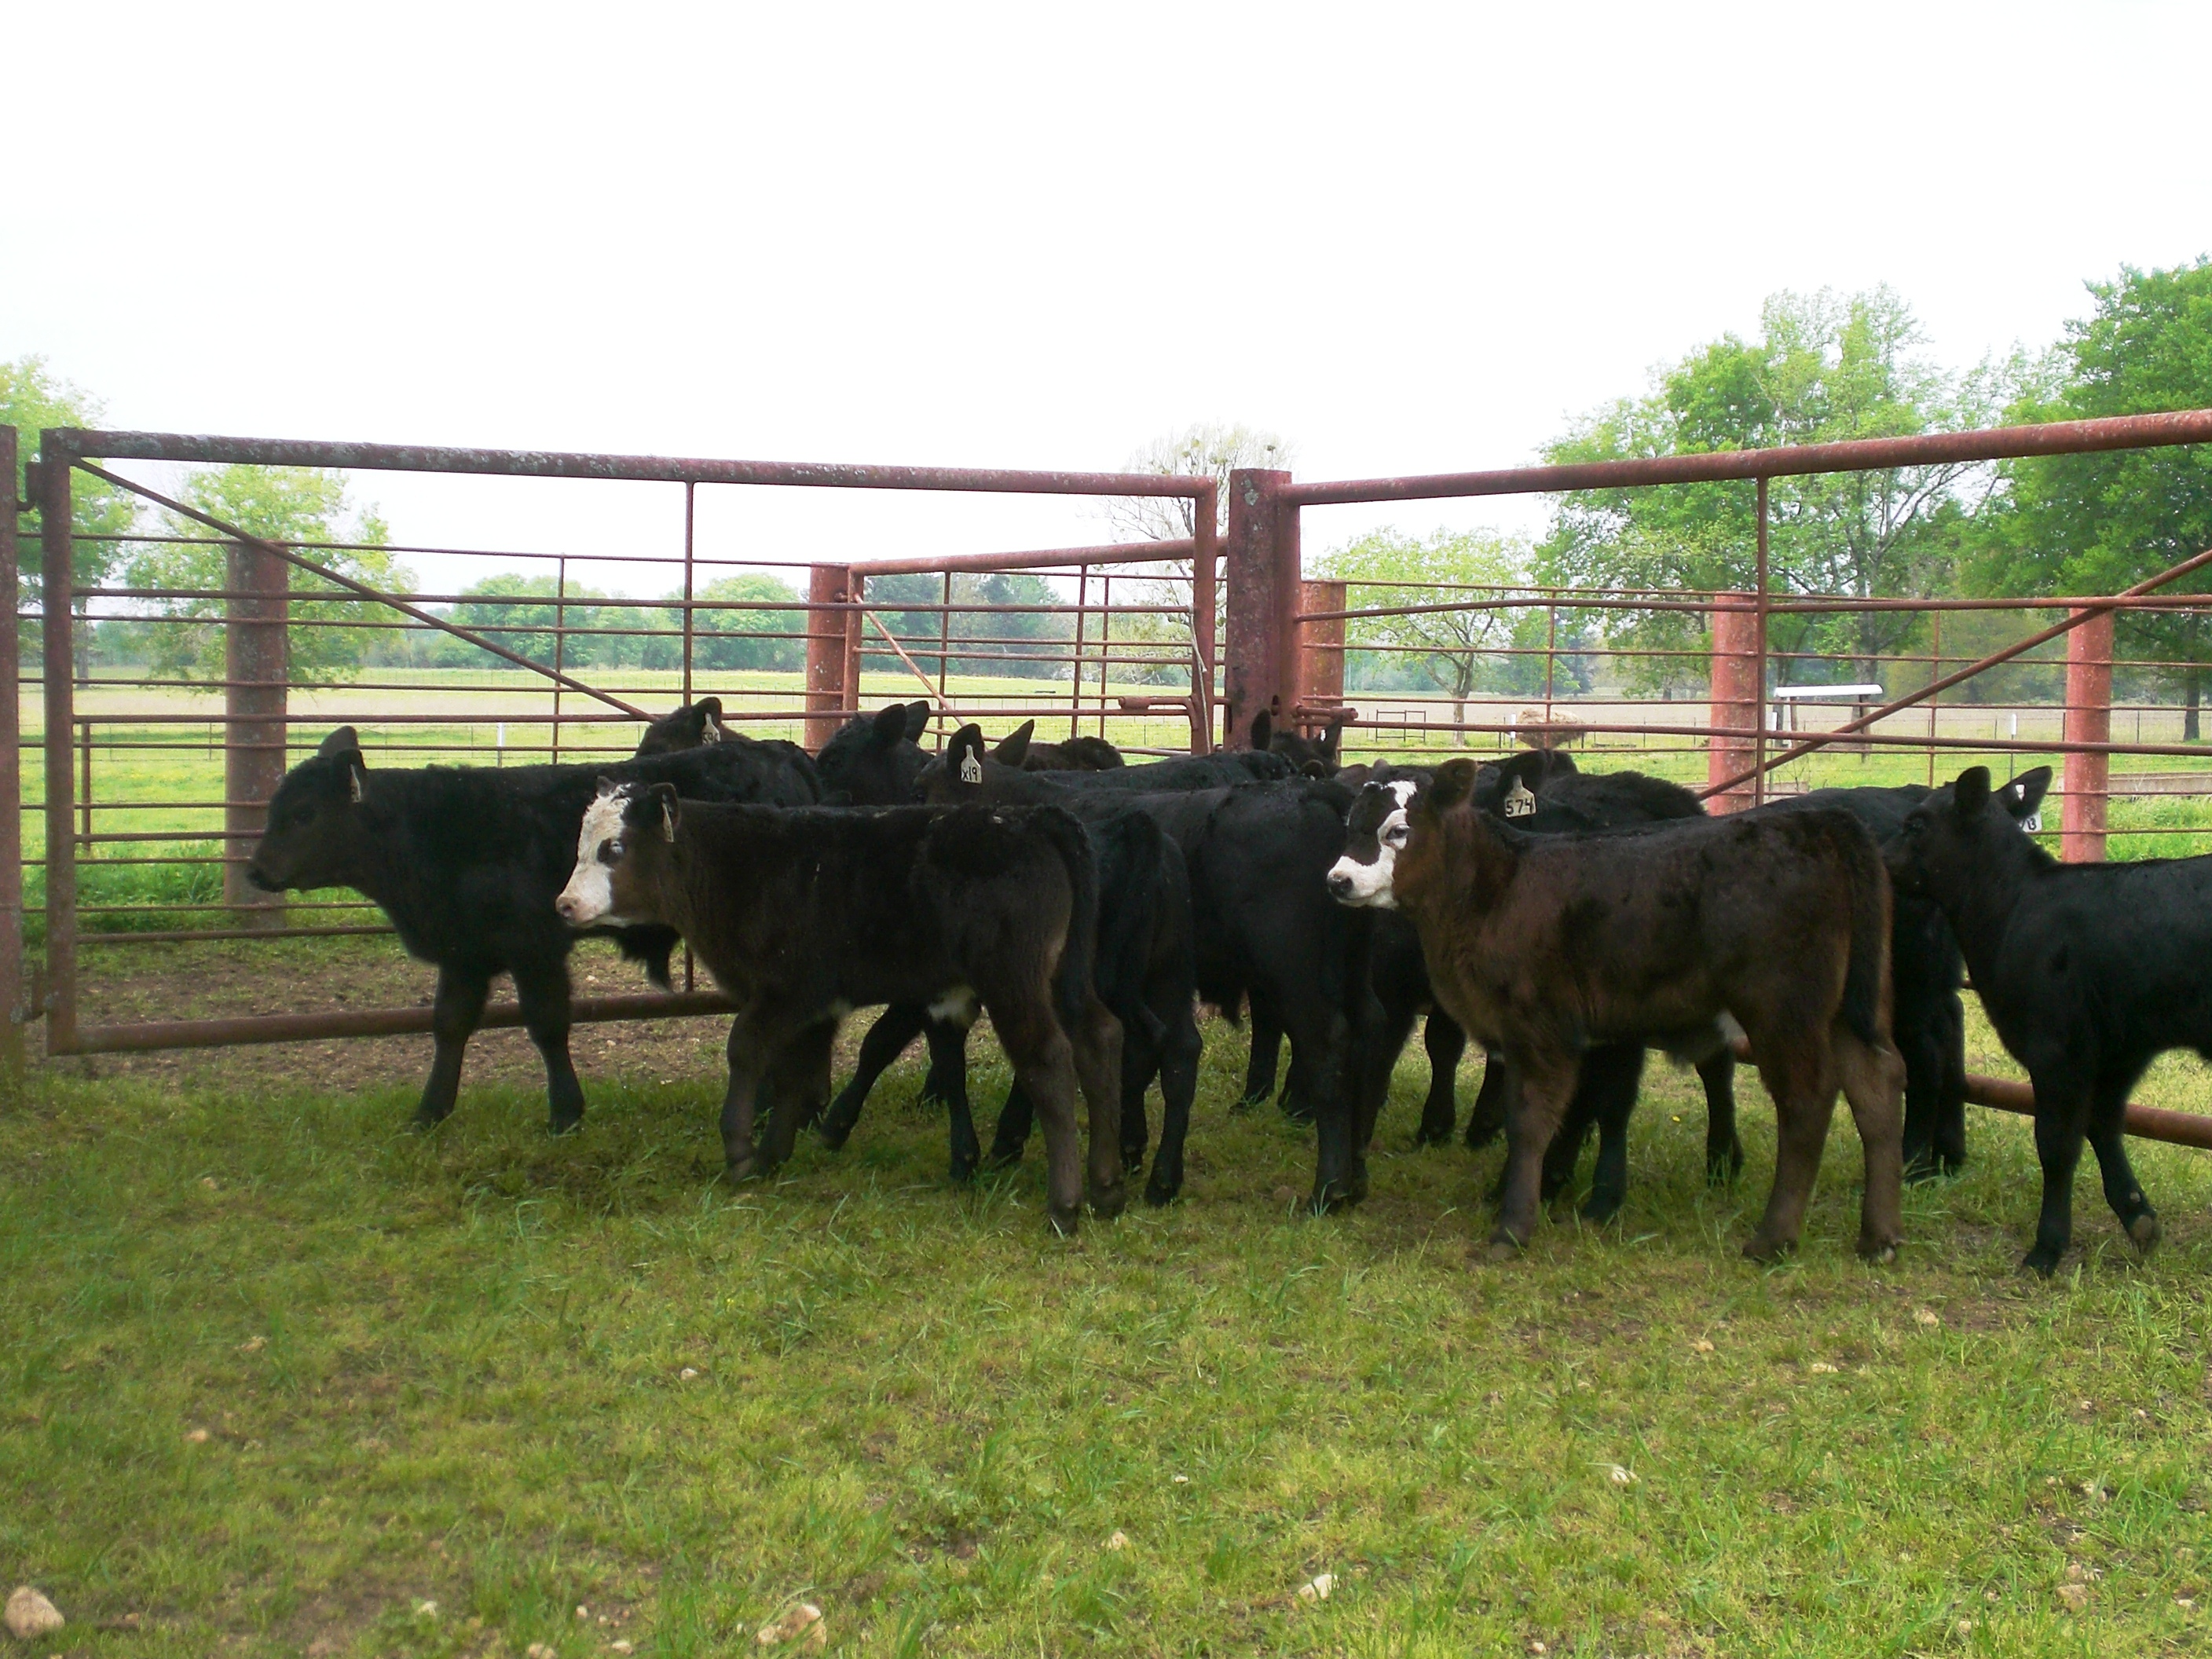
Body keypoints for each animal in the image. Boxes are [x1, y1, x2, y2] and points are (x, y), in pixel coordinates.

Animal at [245, 725, 819, 1135]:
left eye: (303, 814)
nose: (256, 871)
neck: (440, 832)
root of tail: (785, 753)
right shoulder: (465, 954)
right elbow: (449, 1025)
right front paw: (430, 1112)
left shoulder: (535, 948)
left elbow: (546, 1025)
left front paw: (565, 1113)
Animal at [554, 782, 1126, 1232]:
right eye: (580, 844)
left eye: (615, 847)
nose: (564, 905)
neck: (743, 866)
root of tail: (1032, 819)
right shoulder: (816, 1009)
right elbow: (797, 1076)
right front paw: (773, 1155)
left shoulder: (785, 991)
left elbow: (747, 1050)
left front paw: (740, 1151)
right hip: (1064, 979)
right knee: (1098, 1041)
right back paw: (1107, 1188)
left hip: (1013, 982)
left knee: (1048, 1062)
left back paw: (1064, 1204)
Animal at [1334, 756, 1905, 1263]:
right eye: (1350, 822)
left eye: (1398, 830)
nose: (1337, 880)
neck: (1498, 888)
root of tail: (1820, 822)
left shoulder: (1542, 1030)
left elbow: (1533, 1122)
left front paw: (1514, 1227)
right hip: (1849, 1011)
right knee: (1876, 1085)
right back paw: (1878, 1238)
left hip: (1784, 1010)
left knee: (1807, 1101)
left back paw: (1774, 1238)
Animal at [1886, 765, 2196, 1275]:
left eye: (1916, 824)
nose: (1878, 857)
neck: (2017, 905)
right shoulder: (2120, 1051)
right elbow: (2102, 1126)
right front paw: (2139, 1219)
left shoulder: (2056, 1048)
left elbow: (2056, 1144)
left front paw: (2046, 1249)